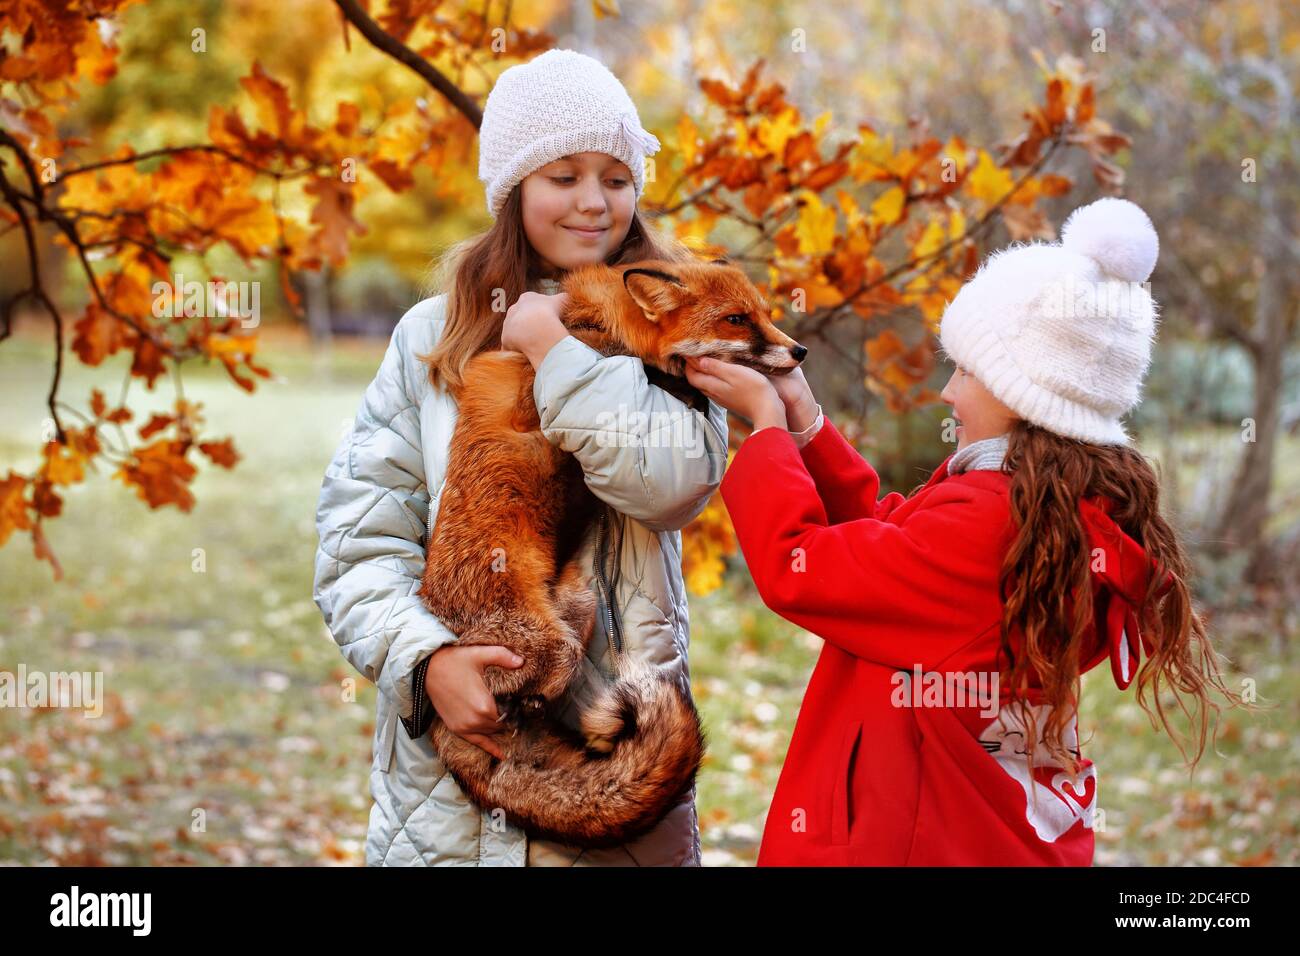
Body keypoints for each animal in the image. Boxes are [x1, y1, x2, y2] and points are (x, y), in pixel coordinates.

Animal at [418, 257, 806, 849]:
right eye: (737, 320)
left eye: (764, 314)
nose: (799, 351)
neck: (597, 322)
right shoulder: (539, 394)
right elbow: (635, 371)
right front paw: (676, 381)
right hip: (541, 647)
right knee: (526, 694)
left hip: (578, 604)